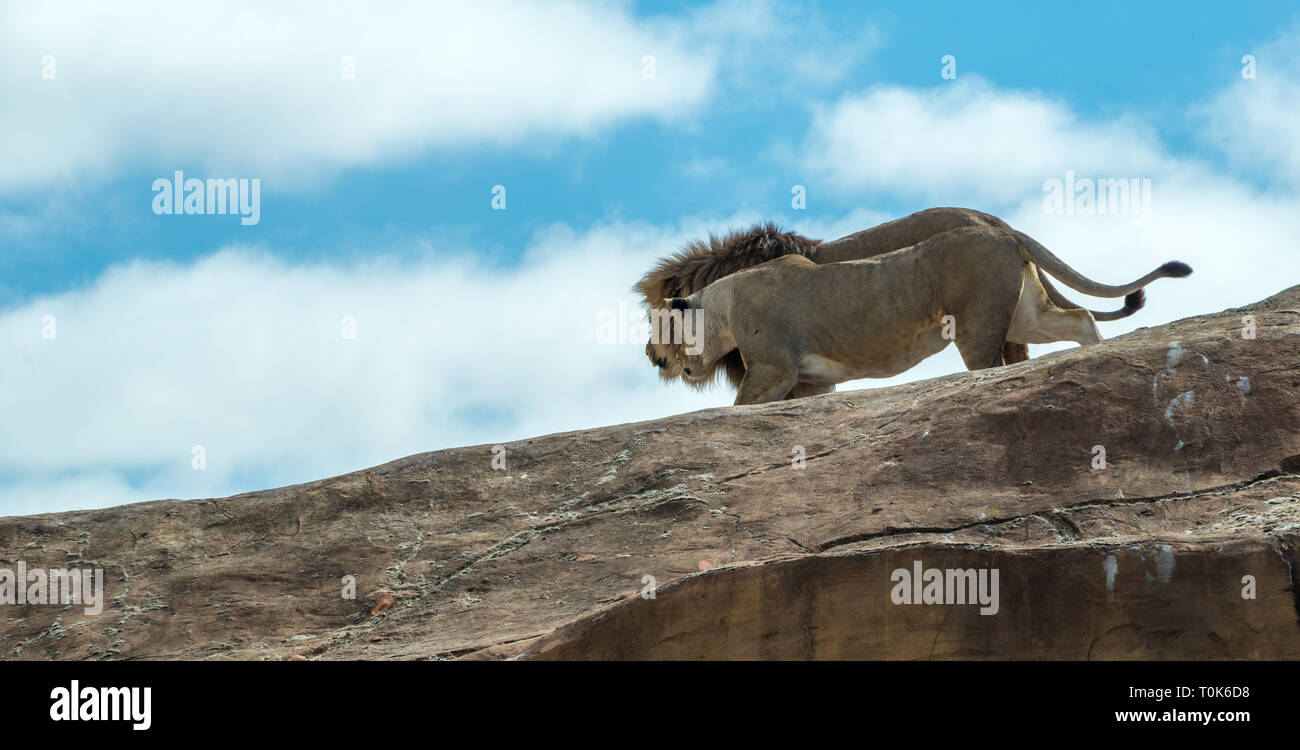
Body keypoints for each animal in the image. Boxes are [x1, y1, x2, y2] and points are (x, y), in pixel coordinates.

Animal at [649, 225, 1191, 405]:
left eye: (660, 328)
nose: (653, 358)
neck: (722, 305)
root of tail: (1004, 230)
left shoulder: (774, 369)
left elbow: (736, 408)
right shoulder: (811, 381)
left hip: (977, 326)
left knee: (992, 366)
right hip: (1025, 314)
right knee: (1079, 319)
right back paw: (1095, 361)